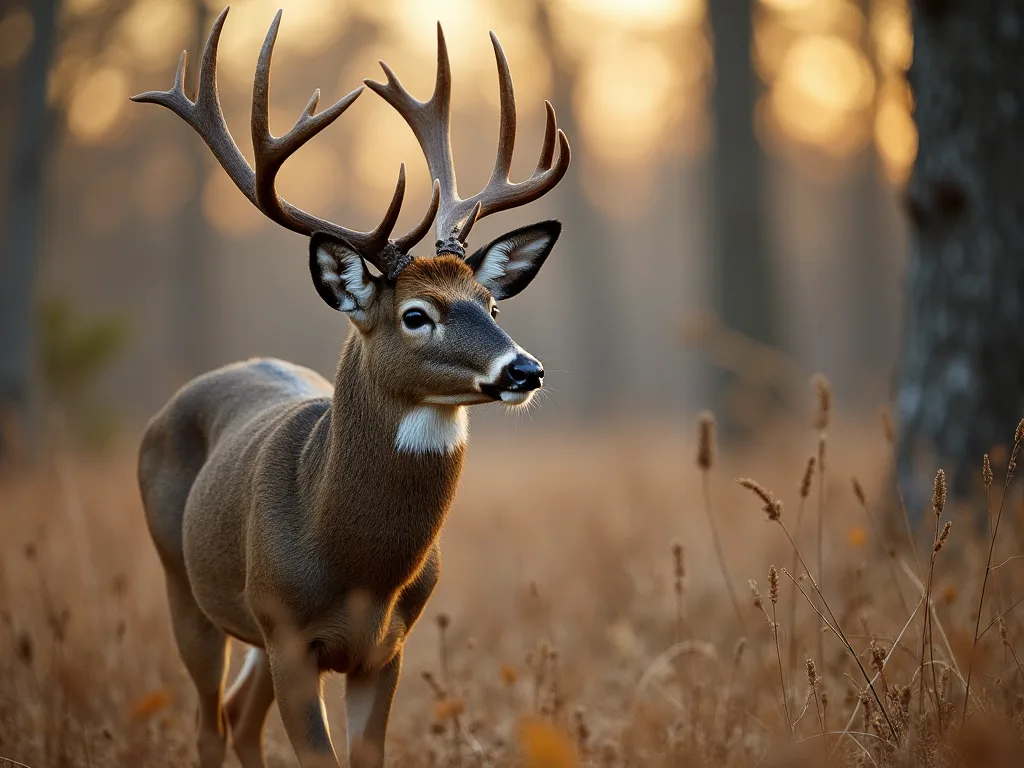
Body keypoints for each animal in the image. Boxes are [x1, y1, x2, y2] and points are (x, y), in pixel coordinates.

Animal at [134, 6, 569, 768]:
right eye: (416, 314)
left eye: (491, 303)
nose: (525, 370)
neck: (355, 562)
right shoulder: (285, 632)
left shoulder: (386, 649)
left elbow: (367, 753)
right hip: (185, 587)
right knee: (210, 723)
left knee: (240, 717)